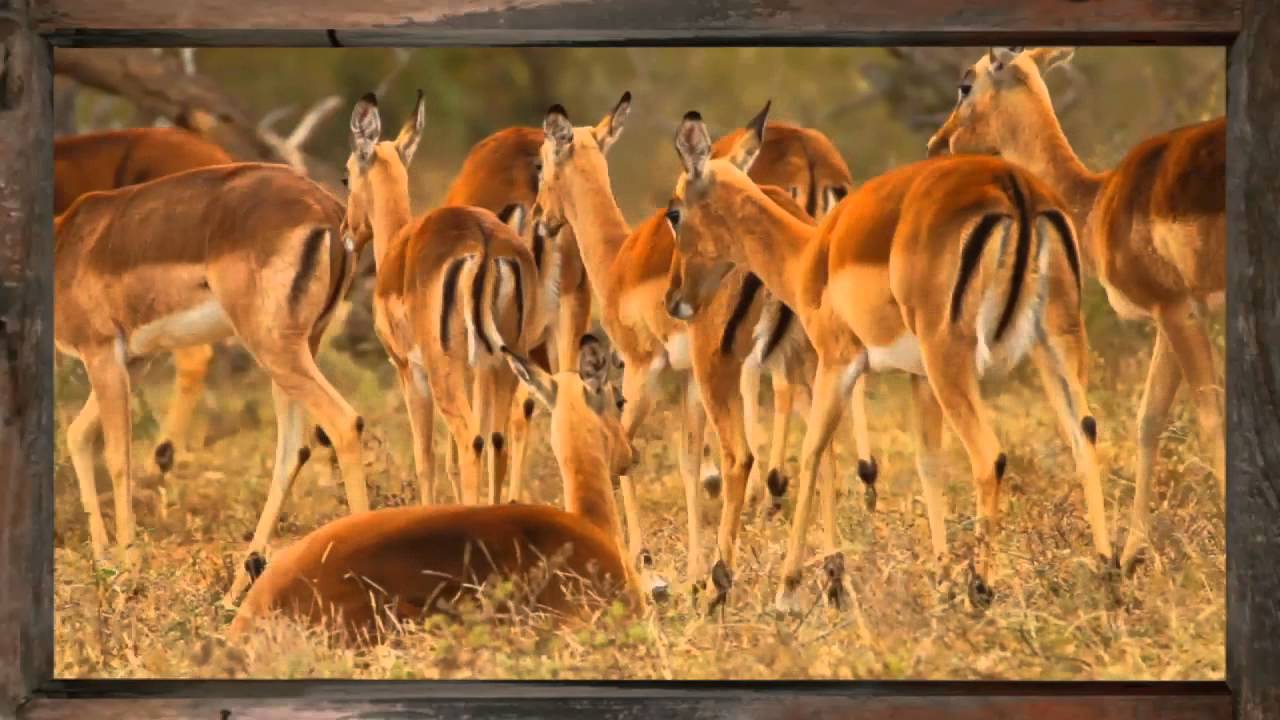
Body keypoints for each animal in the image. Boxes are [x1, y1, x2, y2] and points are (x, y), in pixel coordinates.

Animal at [55, 161, 366, 600]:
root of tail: (329, 212)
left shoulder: (101, 353)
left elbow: (117, 456)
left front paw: (128, 574)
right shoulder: (136, 359)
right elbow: (79, 435)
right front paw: (103, 564)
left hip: (274, 349)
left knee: (343, 422)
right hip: (300, 348)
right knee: (294, 450)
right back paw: (239, 586)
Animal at [343, 91, 542, 510]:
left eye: (346, 175)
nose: (346, 232)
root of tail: (484, 243)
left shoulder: (408, 369)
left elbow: (425, 458)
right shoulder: (476, 369)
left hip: (444, 371)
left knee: (472, 440)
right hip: (505, 362)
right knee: (497, 440)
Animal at [534, 96, 871, 606]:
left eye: (542, 163)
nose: (540, 219)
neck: (617, 259)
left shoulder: (641, 368)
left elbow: (625, 451)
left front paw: (652, 572)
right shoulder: (687, 378)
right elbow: (689, 461)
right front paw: (688, 573)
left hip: (724, 367)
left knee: (741, 456)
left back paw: (724, 584)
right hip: (803, 358)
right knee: (823, 445)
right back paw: (829, 575)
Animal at [664, 105, 1111, 612]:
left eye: (675, 212)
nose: (675, 298)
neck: (809, 256)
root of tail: (1015, 188)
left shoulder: (837, 361)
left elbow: (813, 453)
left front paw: (788, 588)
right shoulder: (917, 377)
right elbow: (928, 462)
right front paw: (939, 577)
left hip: (951, 357)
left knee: (990, 455)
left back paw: (981, 587)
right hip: (1054, 341)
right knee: (1084, 434)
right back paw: (1107, 571)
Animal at [927, 47, 1225, 573]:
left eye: (966, 84)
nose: (939, 142)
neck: (1100, 200)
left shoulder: (1175, 310)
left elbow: (1207, 420)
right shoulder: (1176, 316)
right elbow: (1149, 420)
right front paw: (1129, 555)